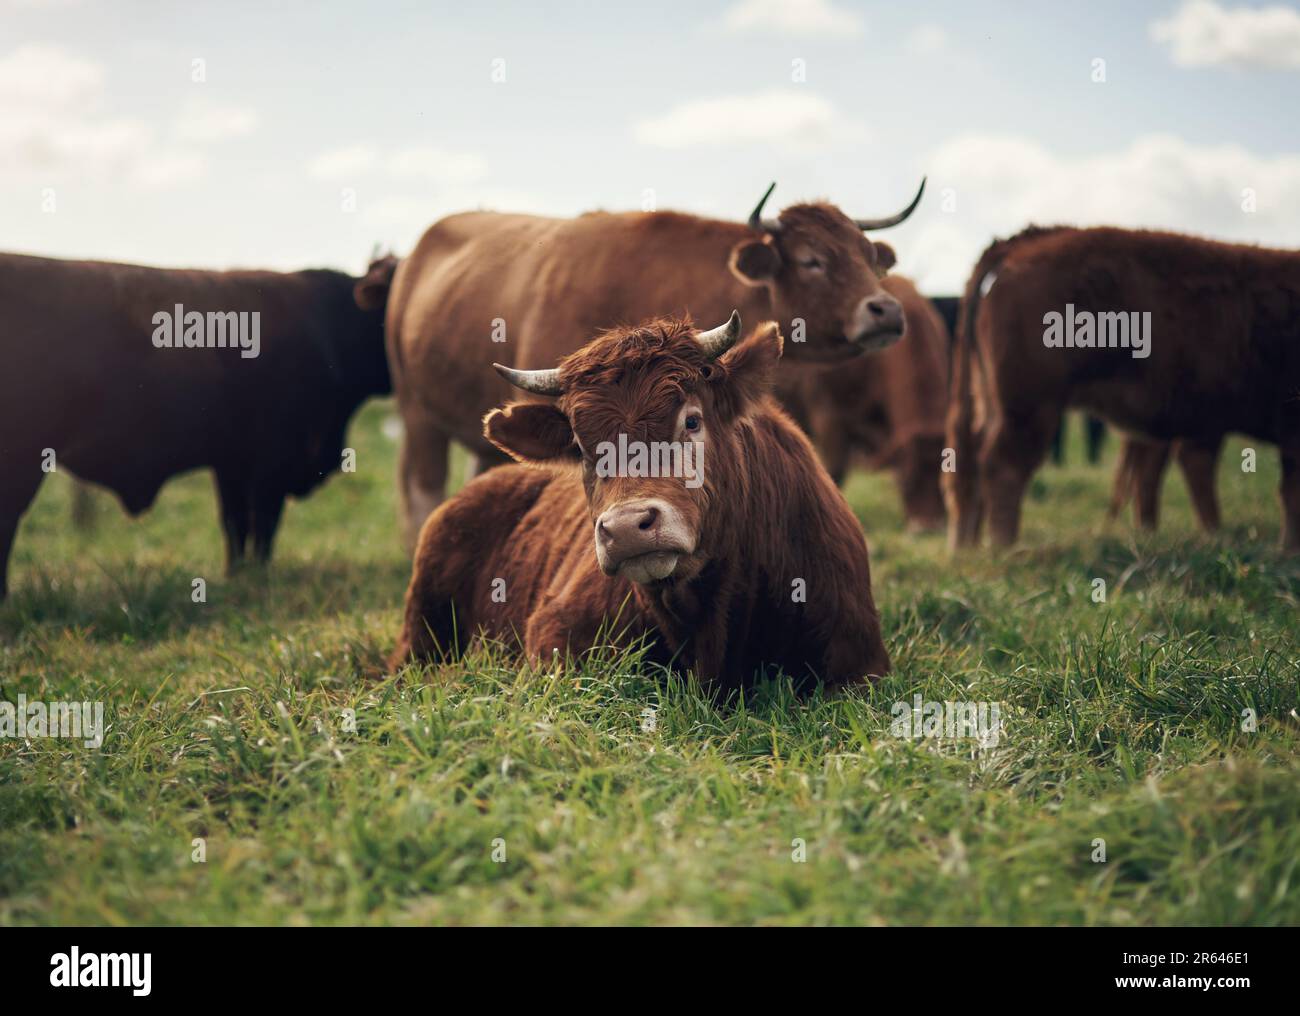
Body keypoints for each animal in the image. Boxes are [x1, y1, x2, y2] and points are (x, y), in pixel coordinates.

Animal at [0, 251, 397, 598]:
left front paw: (238, 574)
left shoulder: (233, 461)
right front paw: (259, 575)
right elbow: (263, 522)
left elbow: (236, 522)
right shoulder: (272, 459)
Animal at [944, 225, 1300, 551]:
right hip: (1031, 407)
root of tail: (1026, 243)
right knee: (1004, 465)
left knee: (971, 463)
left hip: (995, 403)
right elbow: (1290, 492)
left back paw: (967, 546)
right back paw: (1005, 549)